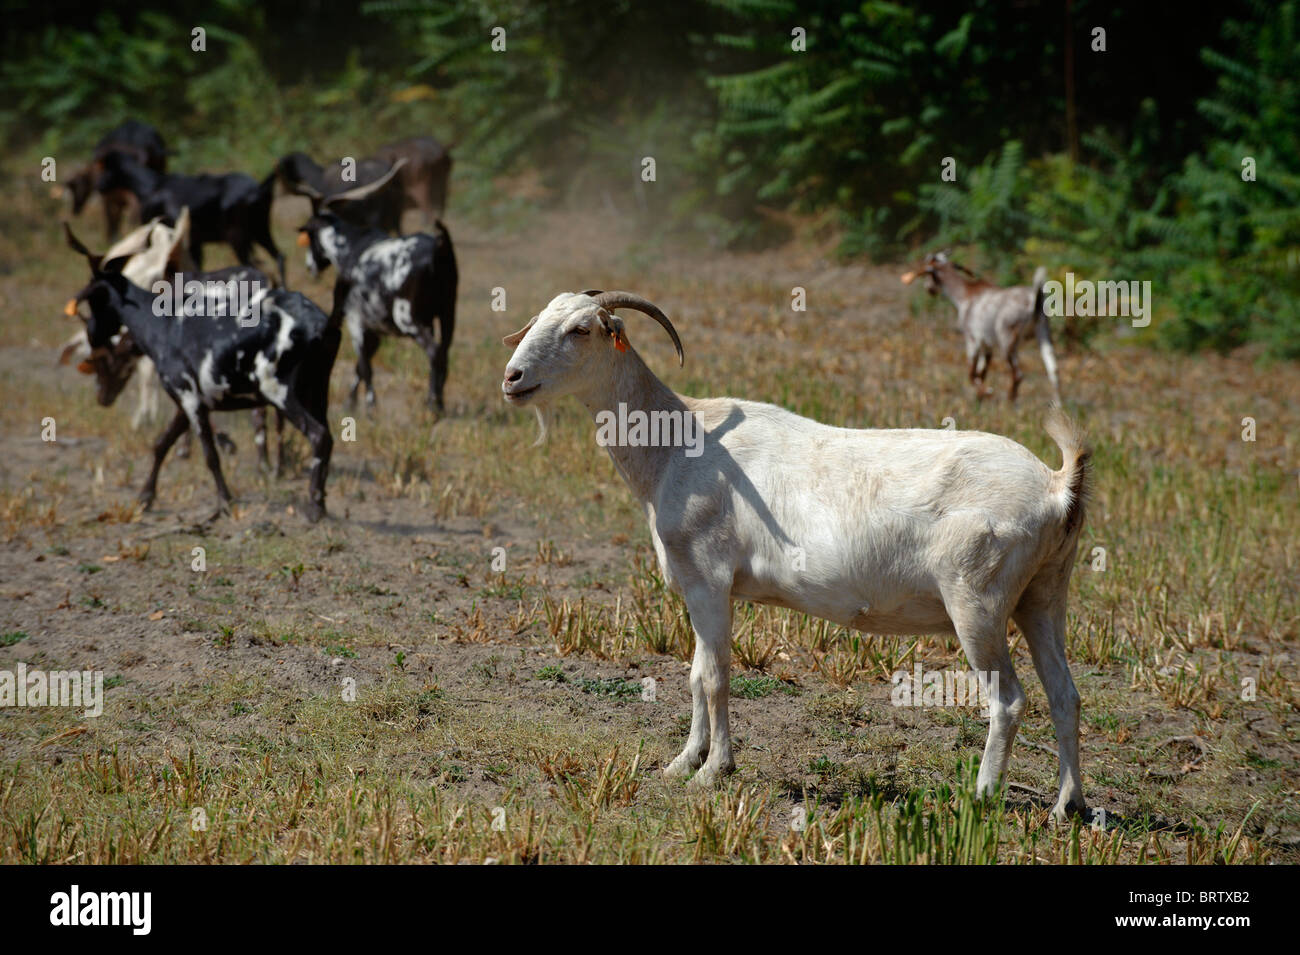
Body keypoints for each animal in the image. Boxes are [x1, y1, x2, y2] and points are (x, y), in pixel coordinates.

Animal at [65, 225, 340, 522]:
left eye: (92, 299)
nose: (92, 334)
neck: (161, 325)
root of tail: (318, 324)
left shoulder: (189, 399)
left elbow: (210, 455)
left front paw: (225, 503)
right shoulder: (188, 402)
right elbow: (161, 444)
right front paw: (145, 498)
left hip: (279, 391)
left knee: (318, 435)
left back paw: (314, 507)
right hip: (318, 387)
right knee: (327, 435)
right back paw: (320, 500)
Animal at [95, 152, 286, 288]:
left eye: (103, 167)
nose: (99, 186)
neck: (150, 185)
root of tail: (258, 189)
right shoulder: (194, 242)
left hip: (237, 236)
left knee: (255, 266)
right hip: (259, 228)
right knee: (277, 256)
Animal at [297, 162, 457, 412]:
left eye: (309, 237)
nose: (309, 266)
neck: (351, 248)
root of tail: (438, 248)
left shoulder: (355, 319)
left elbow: (364, 365)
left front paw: (370, 406)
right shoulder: (376, 329)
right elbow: (360, 366)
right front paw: (351, 402)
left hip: (408, 318)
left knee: (434, 352)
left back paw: (433, 404)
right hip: (448, 311)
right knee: (445, 351)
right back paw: (437, 400)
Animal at [502, 291, 1090, 820]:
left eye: (581, 329)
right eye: (538, 318)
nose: (512, 377)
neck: (675, 448)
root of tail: (1056, 485)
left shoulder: (709, 577)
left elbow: (715, 675)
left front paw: (713, 772)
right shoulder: (699, 587)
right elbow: (695, 673)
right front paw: (681, 763)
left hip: (976, 602)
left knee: (1008, 700)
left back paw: (982, 796)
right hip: (1044, 594)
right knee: (1065, 694)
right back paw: (1069, 805)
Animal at [902, 252, 1061, 402]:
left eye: (928, 273)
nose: (929, 289)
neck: (965, 294)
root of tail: (1034, 299)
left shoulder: (973, 339)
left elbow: (971, 373)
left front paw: (986, 392)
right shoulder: (987, 343)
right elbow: (981, 373)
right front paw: (980, 398)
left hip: (1007, 337)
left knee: (1018, 374)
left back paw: (1010, 401)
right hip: (1043, 331)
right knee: (1053, 370)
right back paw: (1057, 406)